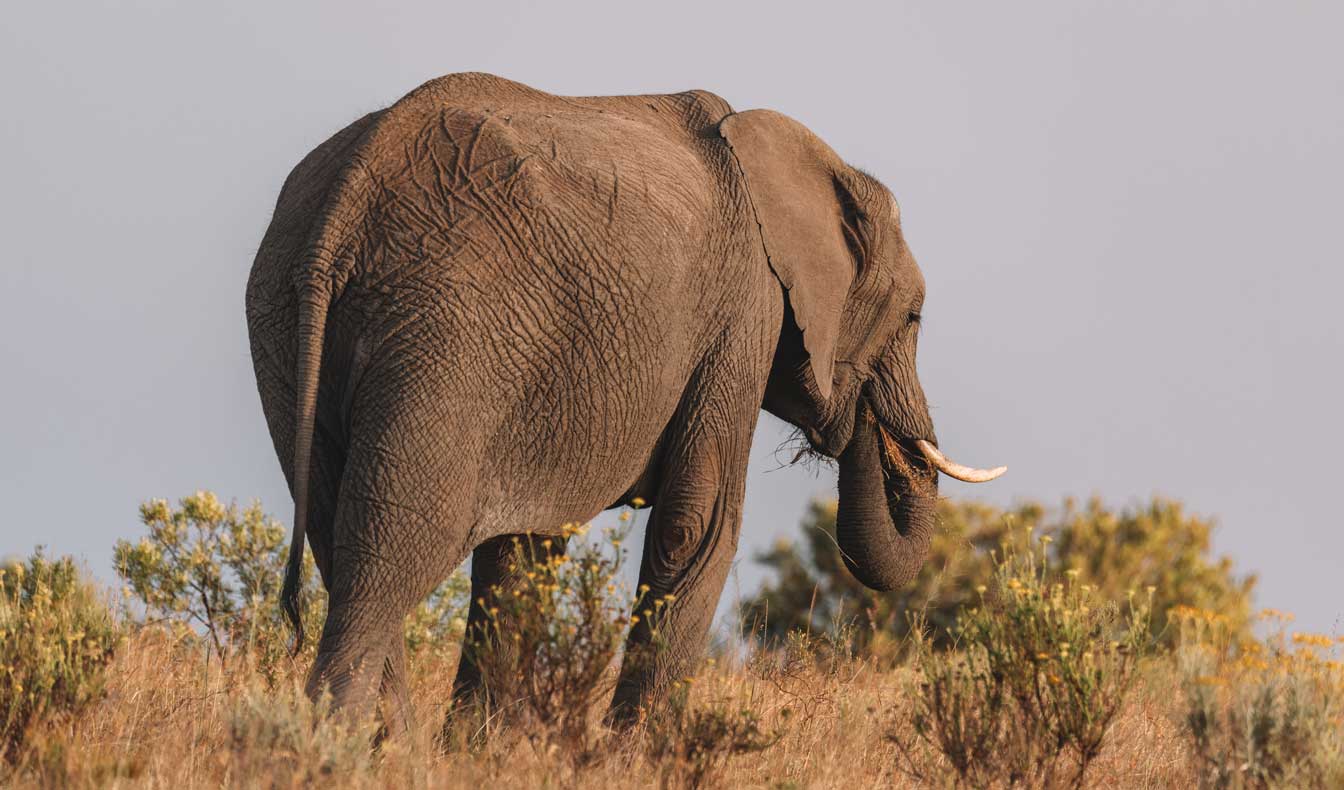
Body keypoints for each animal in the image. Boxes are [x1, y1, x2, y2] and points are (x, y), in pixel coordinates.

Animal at [245, 72, 1004, 734]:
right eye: (914, 318)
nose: (868, 421)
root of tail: (348, 197)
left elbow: (523, 550)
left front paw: (480, 751)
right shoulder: (744, 310)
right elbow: (697, 527)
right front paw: (629, 758)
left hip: (287, 325)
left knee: (337, 541)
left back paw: (397, 751)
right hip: (446, 327)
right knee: (388, 554)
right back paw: (345, 749)